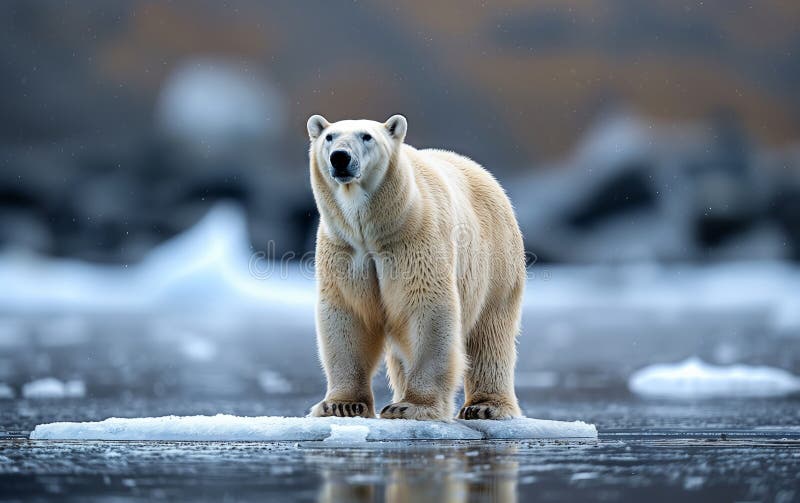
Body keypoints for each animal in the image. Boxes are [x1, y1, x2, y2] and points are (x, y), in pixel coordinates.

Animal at [306, 114, 525, 421]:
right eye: (329, 137)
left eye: (366, 136)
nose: (340, 157)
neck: (374, 229)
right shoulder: (345, 249)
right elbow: (350, 314)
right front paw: (341, 405)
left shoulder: (414, 240)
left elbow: (426, 306)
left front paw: (409, 406)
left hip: (497, 260)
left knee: (491, 332)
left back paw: (485, 406)